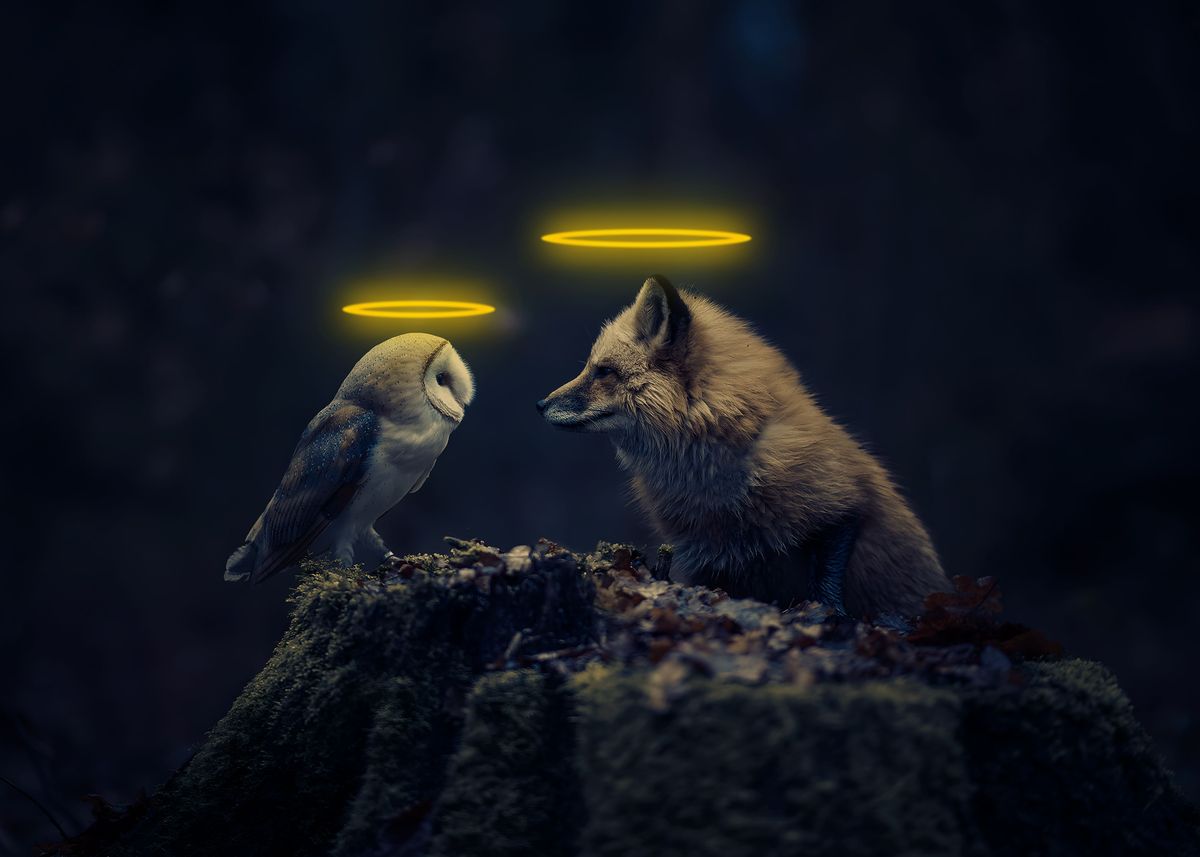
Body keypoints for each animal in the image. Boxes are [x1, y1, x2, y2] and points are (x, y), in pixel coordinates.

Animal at [537, 275, 949, 618]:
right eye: (591, 368)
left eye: (603, 372)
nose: (539, 405)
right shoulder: (706, 561)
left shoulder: (842, 505)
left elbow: (825, 585)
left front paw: (828, 615)